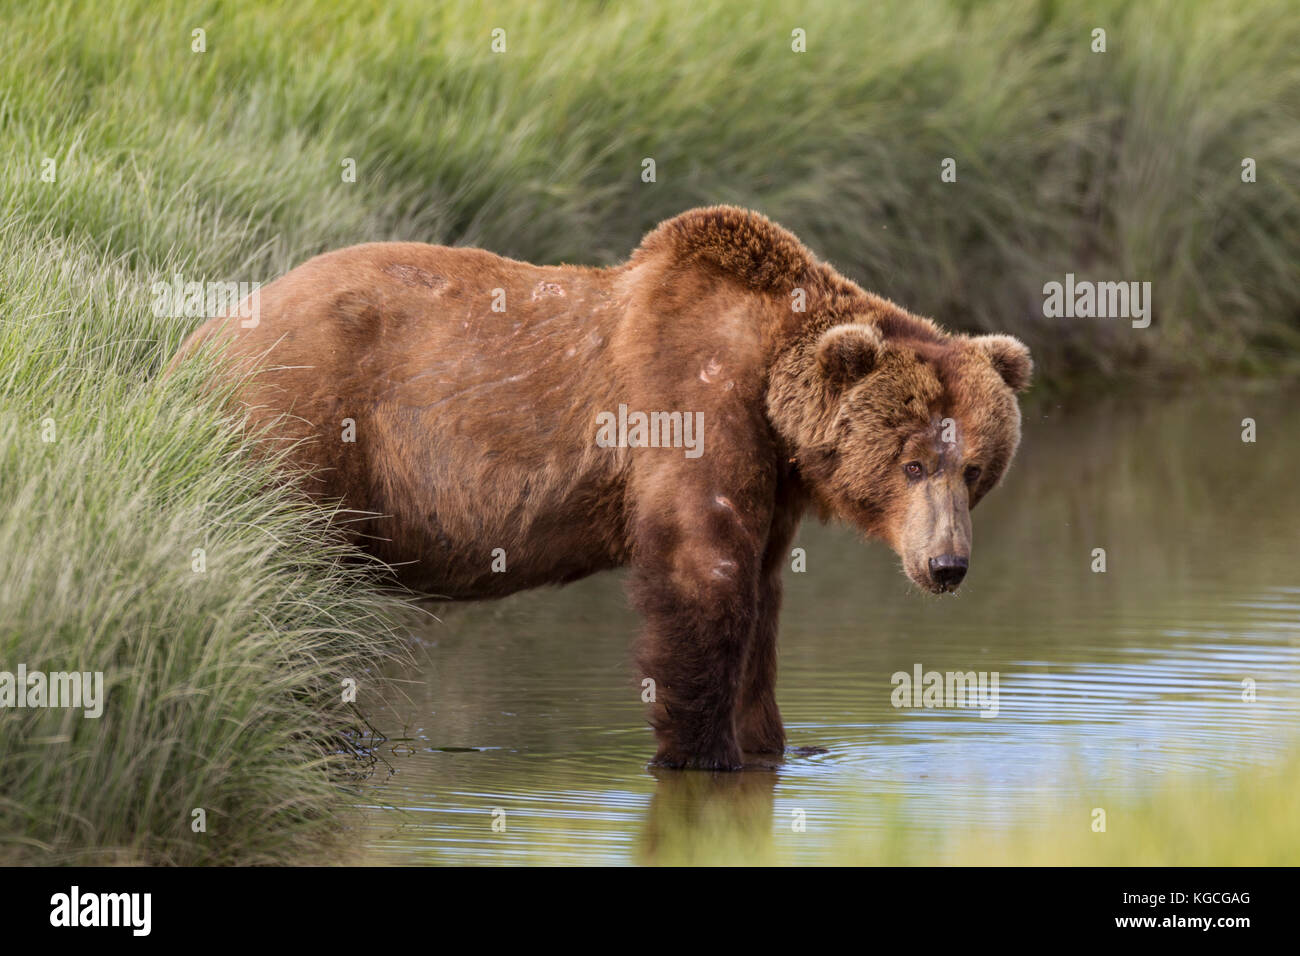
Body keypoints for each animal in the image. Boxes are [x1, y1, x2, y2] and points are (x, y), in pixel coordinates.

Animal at [170, 206, 1032, 771]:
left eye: (974, 468)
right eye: (912, 463)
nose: (947, 565)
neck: (769, 379)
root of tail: (197, 338)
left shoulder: (773, 480)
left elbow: (762, 600)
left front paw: (773, 742)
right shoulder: (690, 405)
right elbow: (703, 583)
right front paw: (701, 751)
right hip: (301, 424)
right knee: (282, 590)